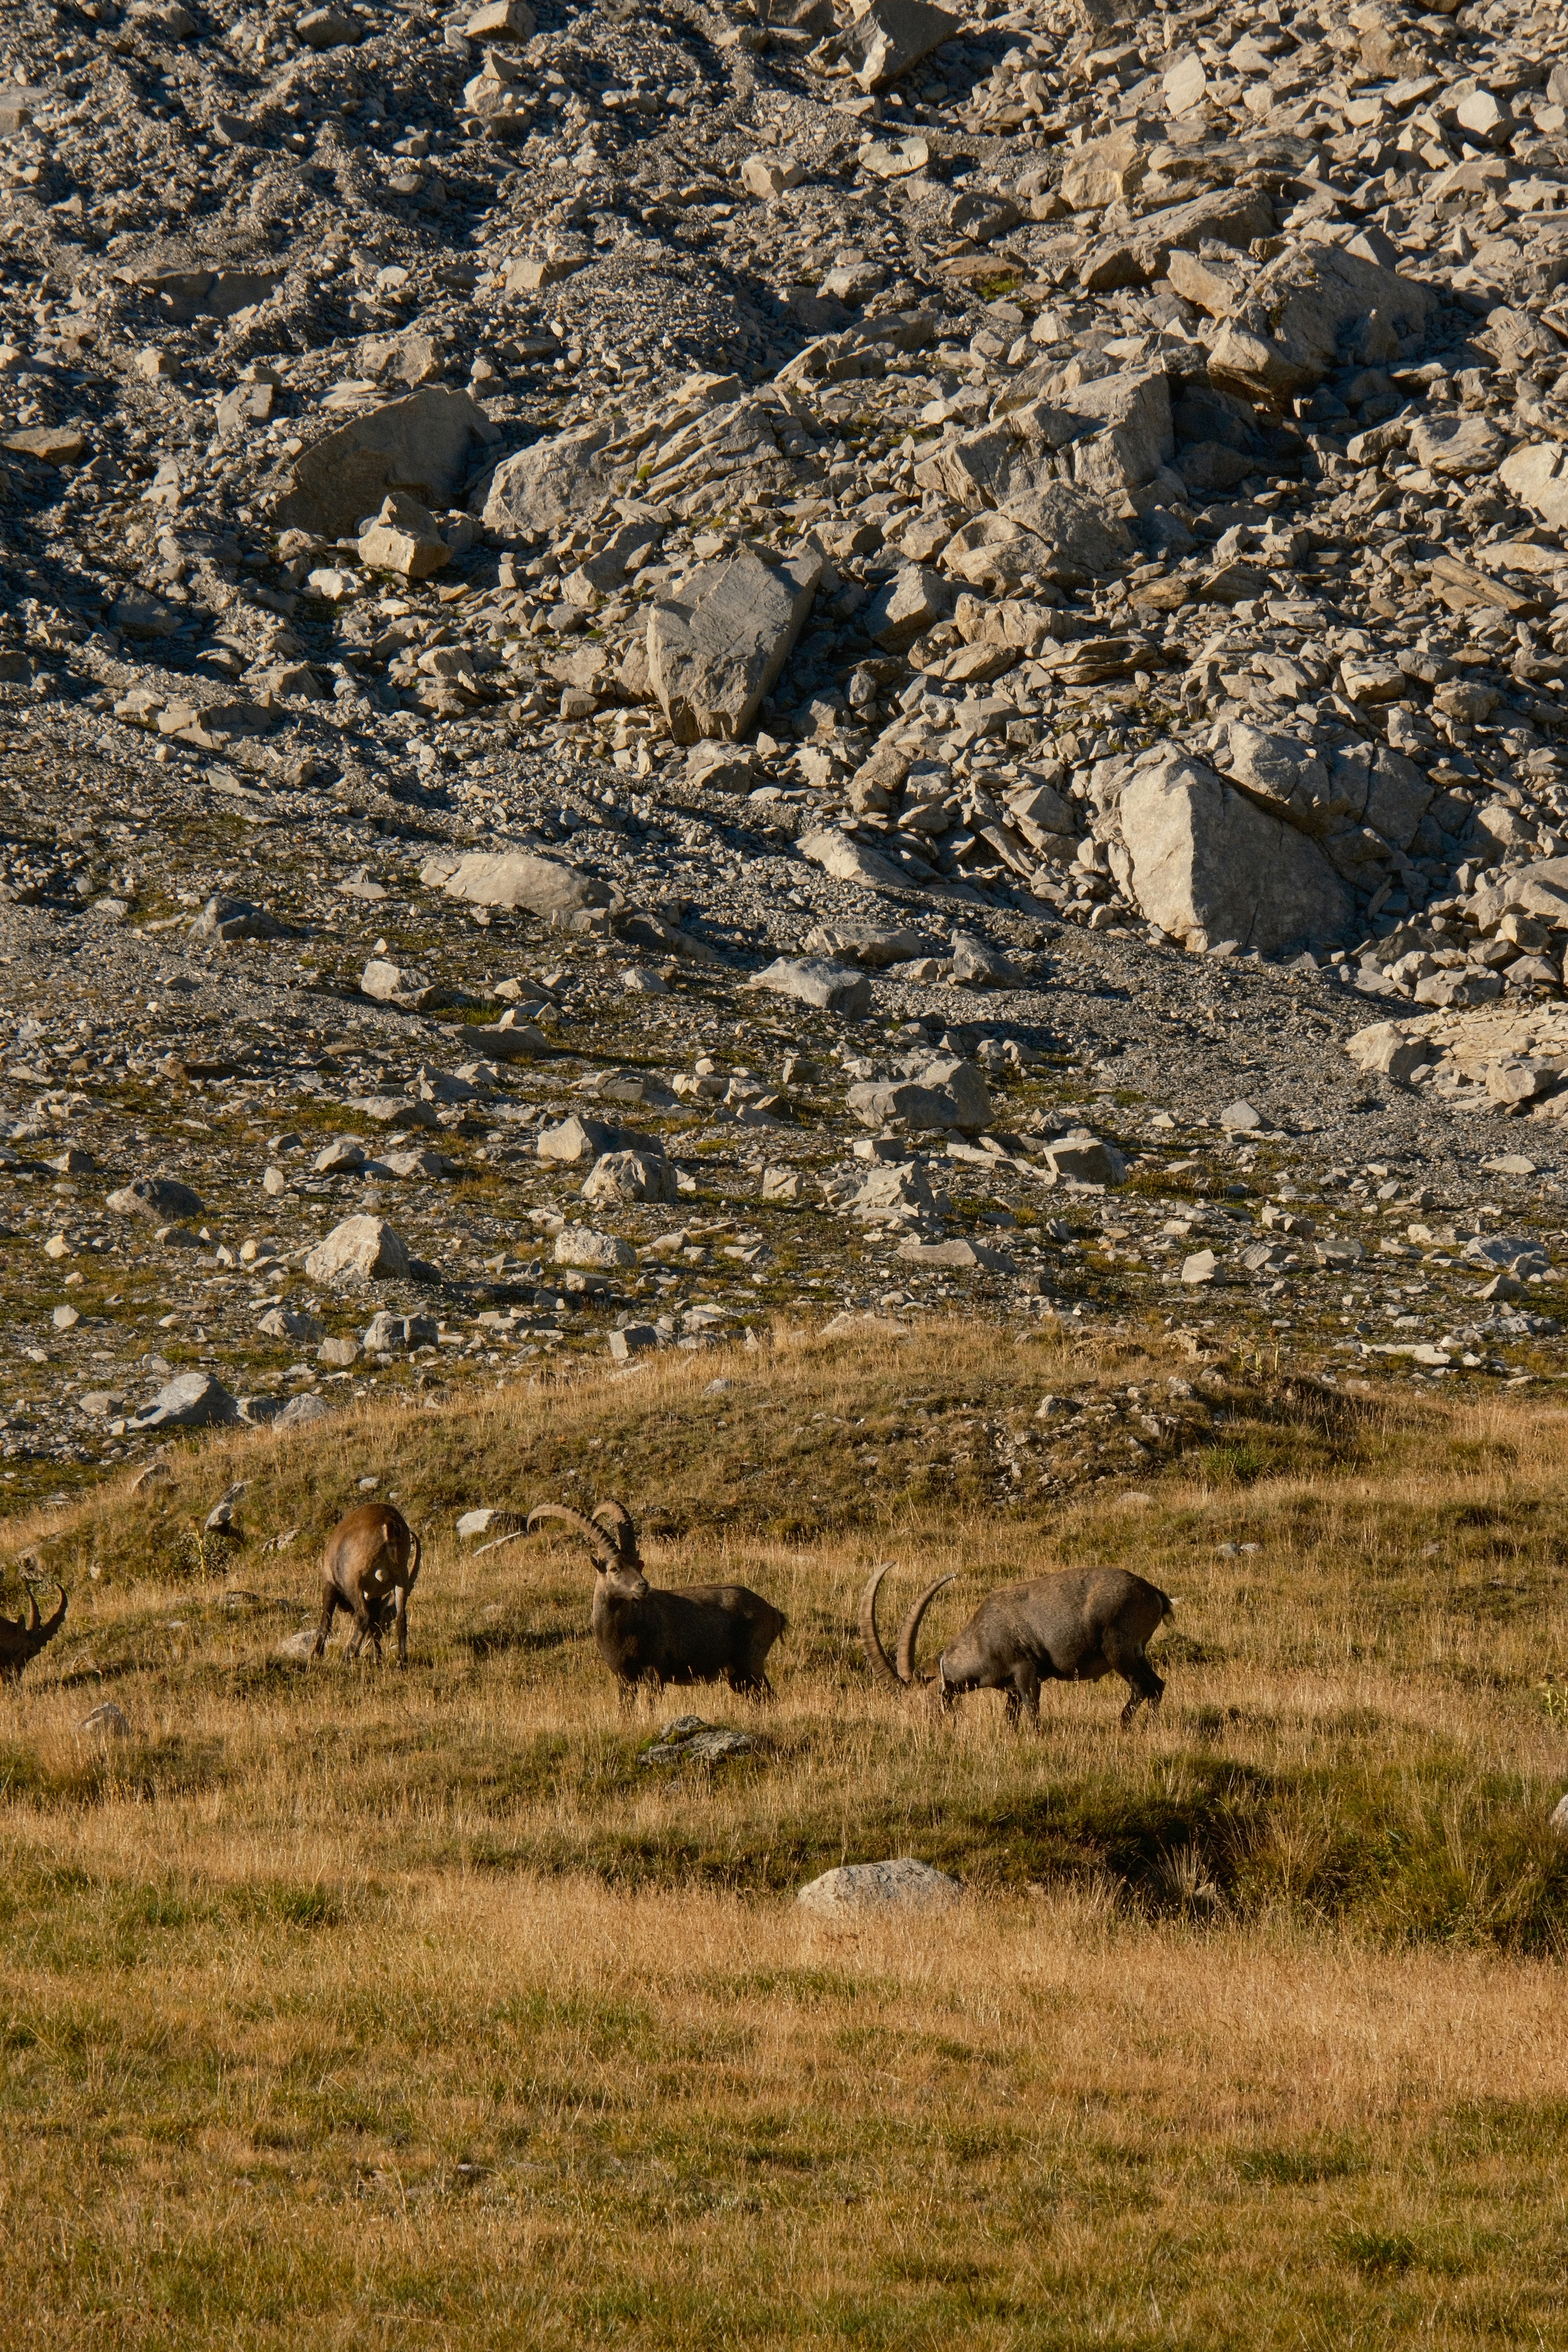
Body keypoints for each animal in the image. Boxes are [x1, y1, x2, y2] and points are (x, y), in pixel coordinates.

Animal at [312, 1503, 421, 1666]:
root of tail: (389, 1525)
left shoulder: (331, 1584)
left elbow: (326, 1621)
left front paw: (316, 1655)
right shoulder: (375, 1593)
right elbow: (374, 1624)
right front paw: (377, 1658)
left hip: (354, 1581)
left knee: (364, 1617)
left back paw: (346, 1655)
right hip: (401, 1577)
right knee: (401, 1619)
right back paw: (401, 1661)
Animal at [526, 1498, 786, 1697]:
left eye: (639, 1563)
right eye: (614, 1569)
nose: (643, 1586)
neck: (621, 1632)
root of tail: (773, 1611)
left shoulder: (654, 1675)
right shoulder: (624, 1679)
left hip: (751, 1665)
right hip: (738, 1676)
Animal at [860, 1562, 1173, 1728]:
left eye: (921, 1702)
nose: (923, 1728)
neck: (982, 1638)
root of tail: (1154, 1593)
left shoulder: (1025, 1671)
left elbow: (1032, 1710)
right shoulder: (1010, 1686)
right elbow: (1011, 1717)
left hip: (1118, 1649)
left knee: (1140, 1687)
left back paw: (1124, 1725)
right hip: (1137, 1651)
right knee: (1157, 1685)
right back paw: (1152, 1725)